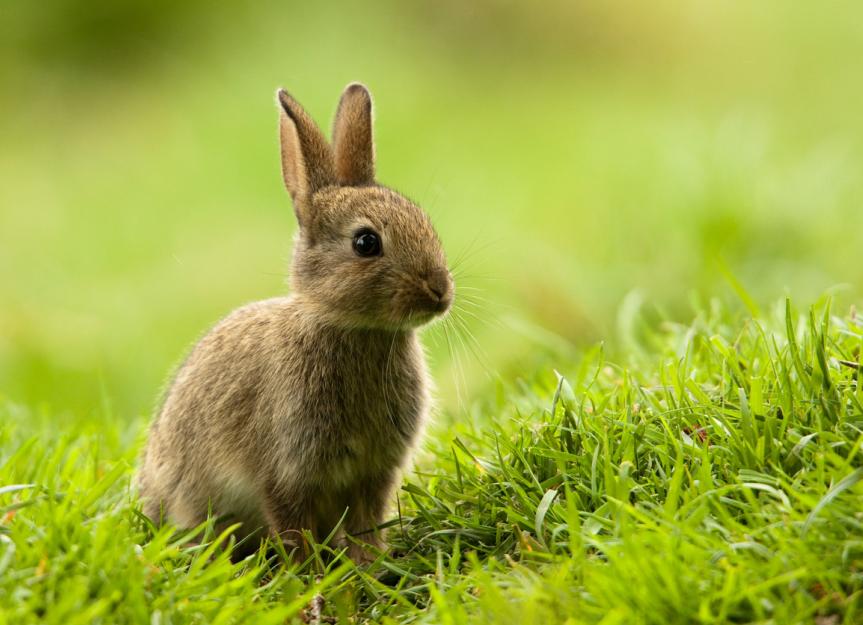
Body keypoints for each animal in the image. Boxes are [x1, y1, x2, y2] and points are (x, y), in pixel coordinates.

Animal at [137, 83, 453, 562]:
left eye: (425, 223)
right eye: (366, 242)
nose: (440, 291)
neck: (353, 329)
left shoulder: (374, 471)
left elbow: (367, 519)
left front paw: (372, 563)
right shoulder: (285, 467)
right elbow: (291, 523)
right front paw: (311, 573)